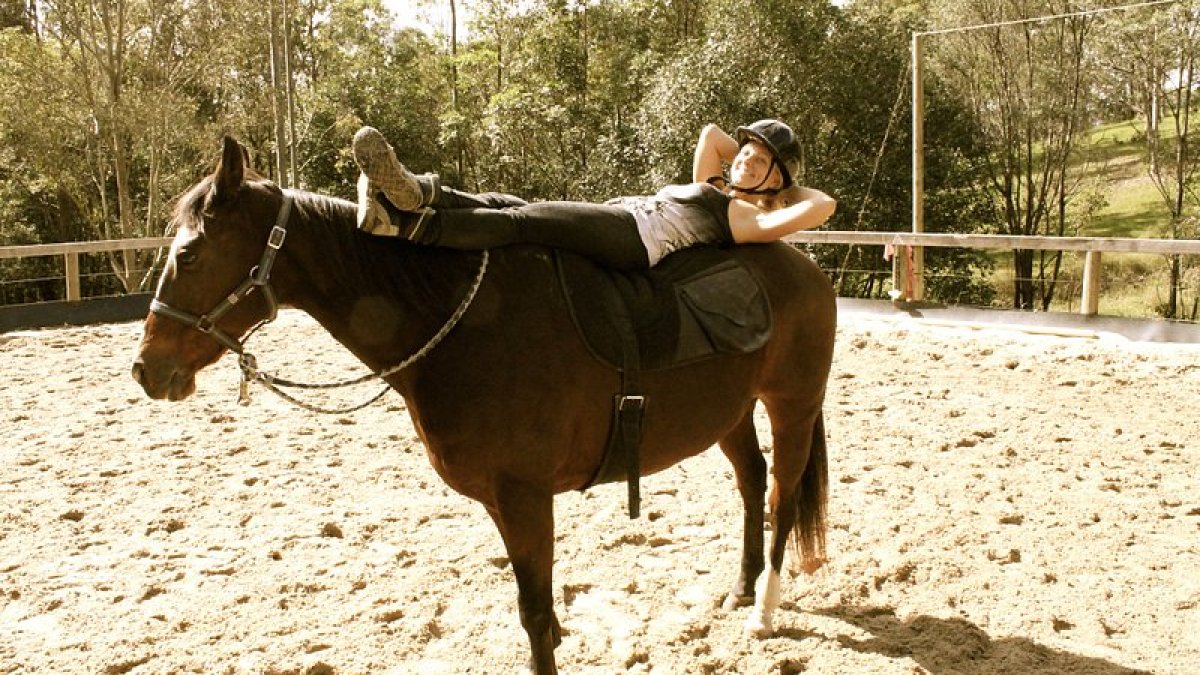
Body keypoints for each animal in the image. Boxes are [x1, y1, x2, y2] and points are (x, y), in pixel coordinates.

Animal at [131, 137, 837, 674]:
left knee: (782, 493)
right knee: (752, 484)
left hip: (792, 406)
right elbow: (539, 615)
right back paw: (742, 588)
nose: (146, 369)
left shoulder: (525, 496)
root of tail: (803, 267)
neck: (457, 320)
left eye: (189, 252)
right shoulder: (502, 501)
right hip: (732, 412)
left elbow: (535, 612)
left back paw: (765, 609)